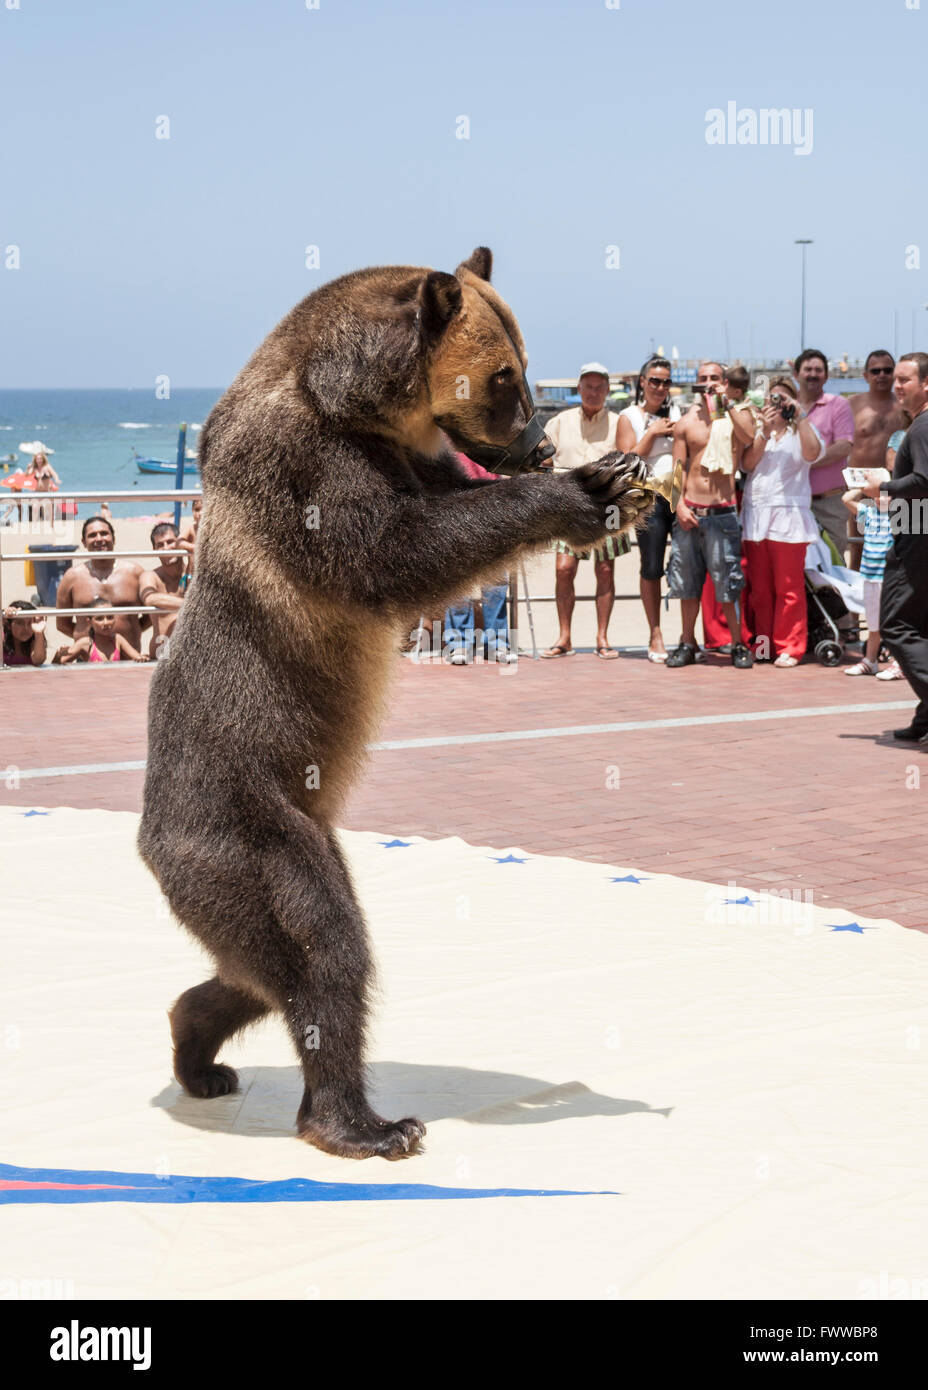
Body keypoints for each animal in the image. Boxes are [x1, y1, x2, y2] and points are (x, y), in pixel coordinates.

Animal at [137, 246, 654, 1160]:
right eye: (506, 374)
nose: (533, 436)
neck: (343, 397)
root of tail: (147, 839)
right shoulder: (310, 464)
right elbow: (395, 550)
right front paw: (582, 489)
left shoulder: (408, 456)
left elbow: (438, 512)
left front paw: (616, 480)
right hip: (246, 824)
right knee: (319, 944)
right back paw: (362, 1121)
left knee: (256, 974)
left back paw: (198, 1052)